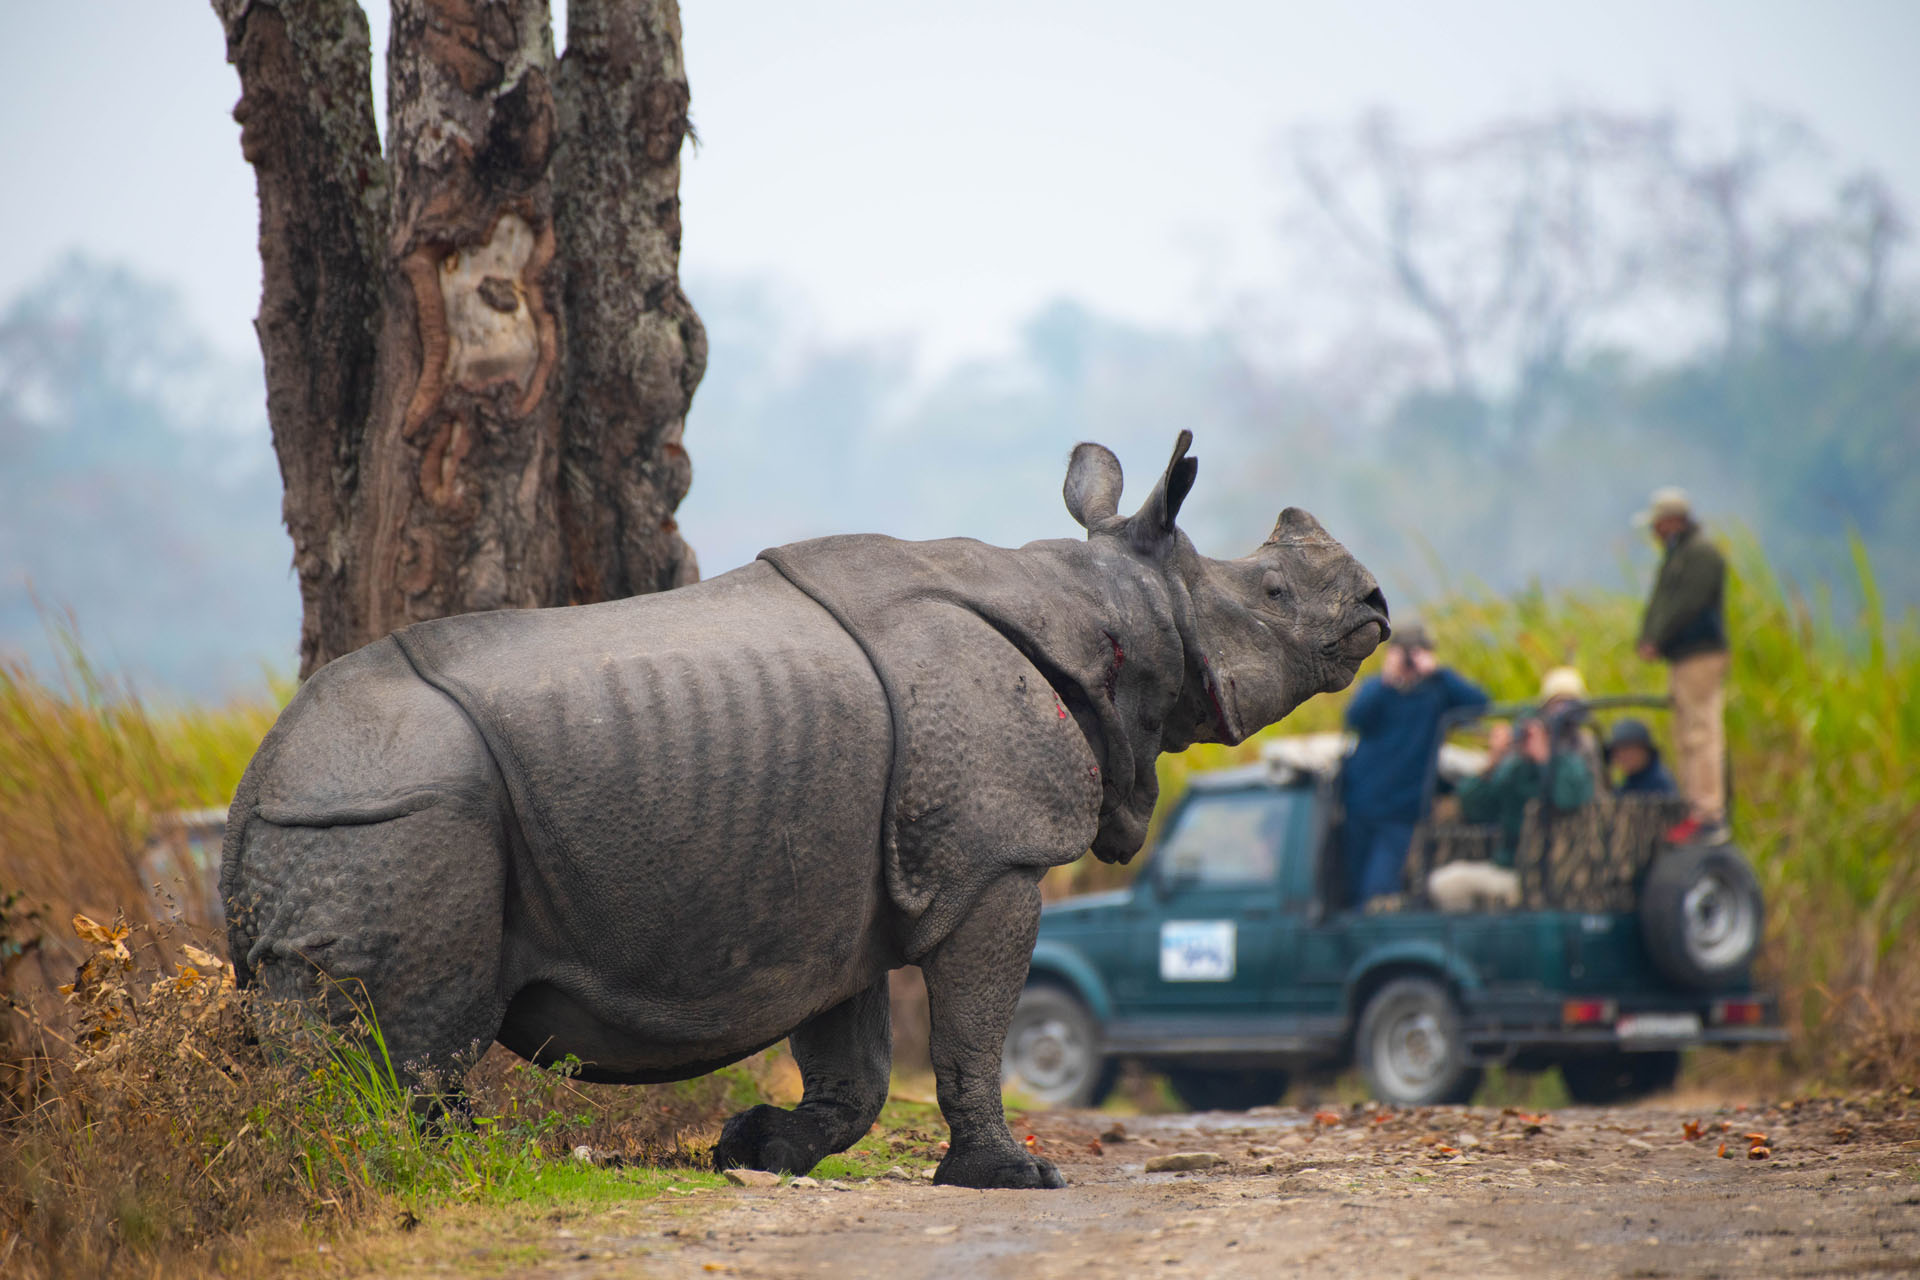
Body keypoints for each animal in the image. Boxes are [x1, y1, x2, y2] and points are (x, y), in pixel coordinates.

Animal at [221, 431, 1387, 1189]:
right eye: (1272, 598)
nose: (1376, 604)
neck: (1119, 610)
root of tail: (252, 790)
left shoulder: (845, 875)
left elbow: (857, 1063)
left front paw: (759, 1149)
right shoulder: (999, 859)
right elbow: (976, 1027)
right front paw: (1014, 1176)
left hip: (340, 819)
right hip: (394, 813)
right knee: (419, 1039)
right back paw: (437, 1166)